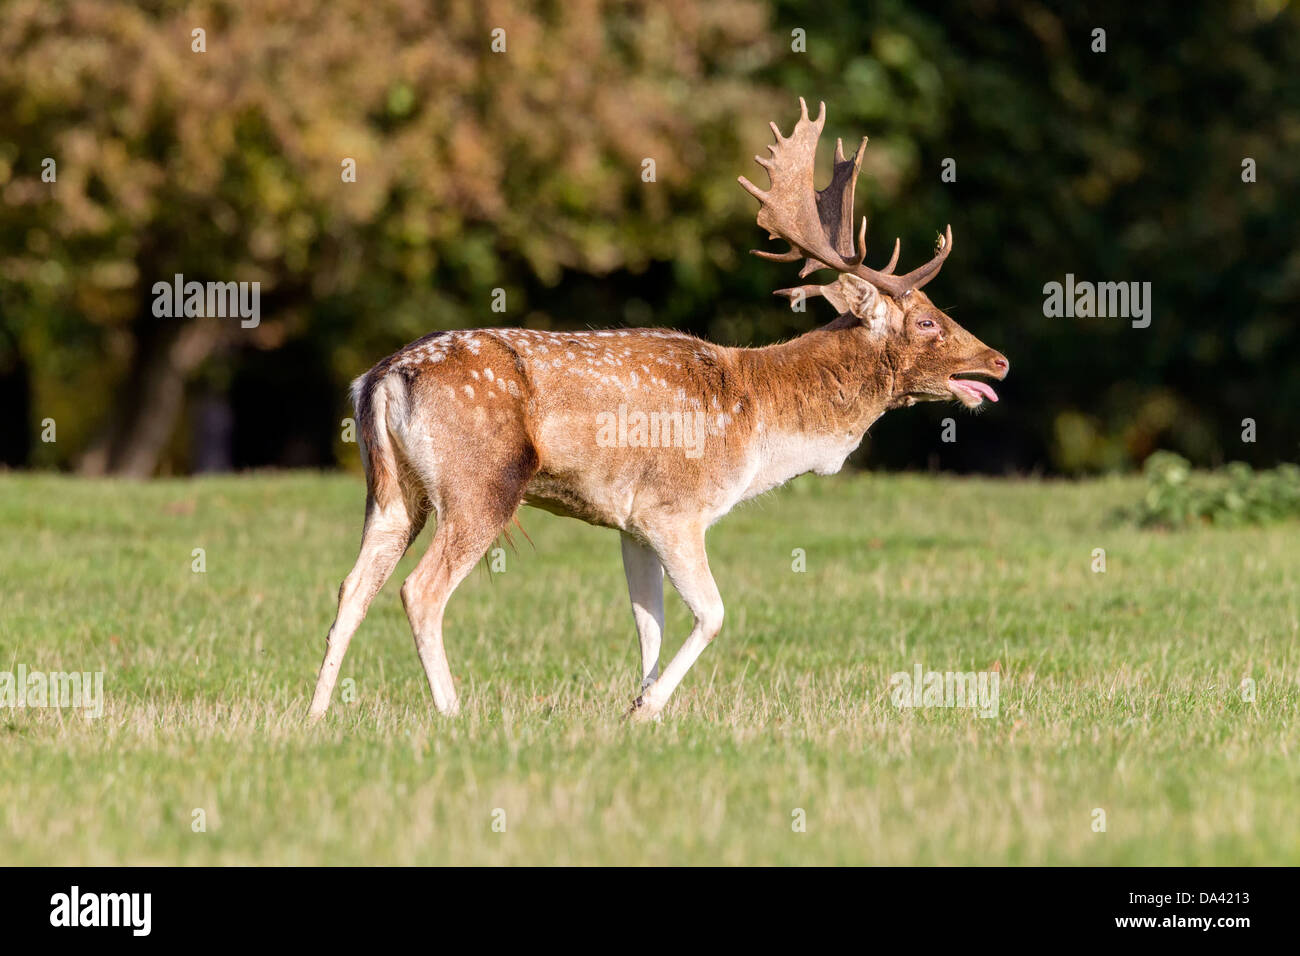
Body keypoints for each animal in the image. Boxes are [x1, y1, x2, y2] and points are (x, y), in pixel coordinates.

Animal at [307, 98, 1008, 723]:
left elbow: (650, 622)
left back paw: (314, 716)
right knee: (419, 591)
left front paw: (637, 707)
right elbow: (713, 613)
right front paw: (647, 708)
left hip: (392, 492)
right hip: (479, 482)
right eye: (927, 322)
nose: (998, 361)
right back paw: (453, 714)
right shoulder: (674, 507)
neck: (760, 426)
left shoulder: (630, 520)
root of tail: (380, 379)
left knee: (351, 587)